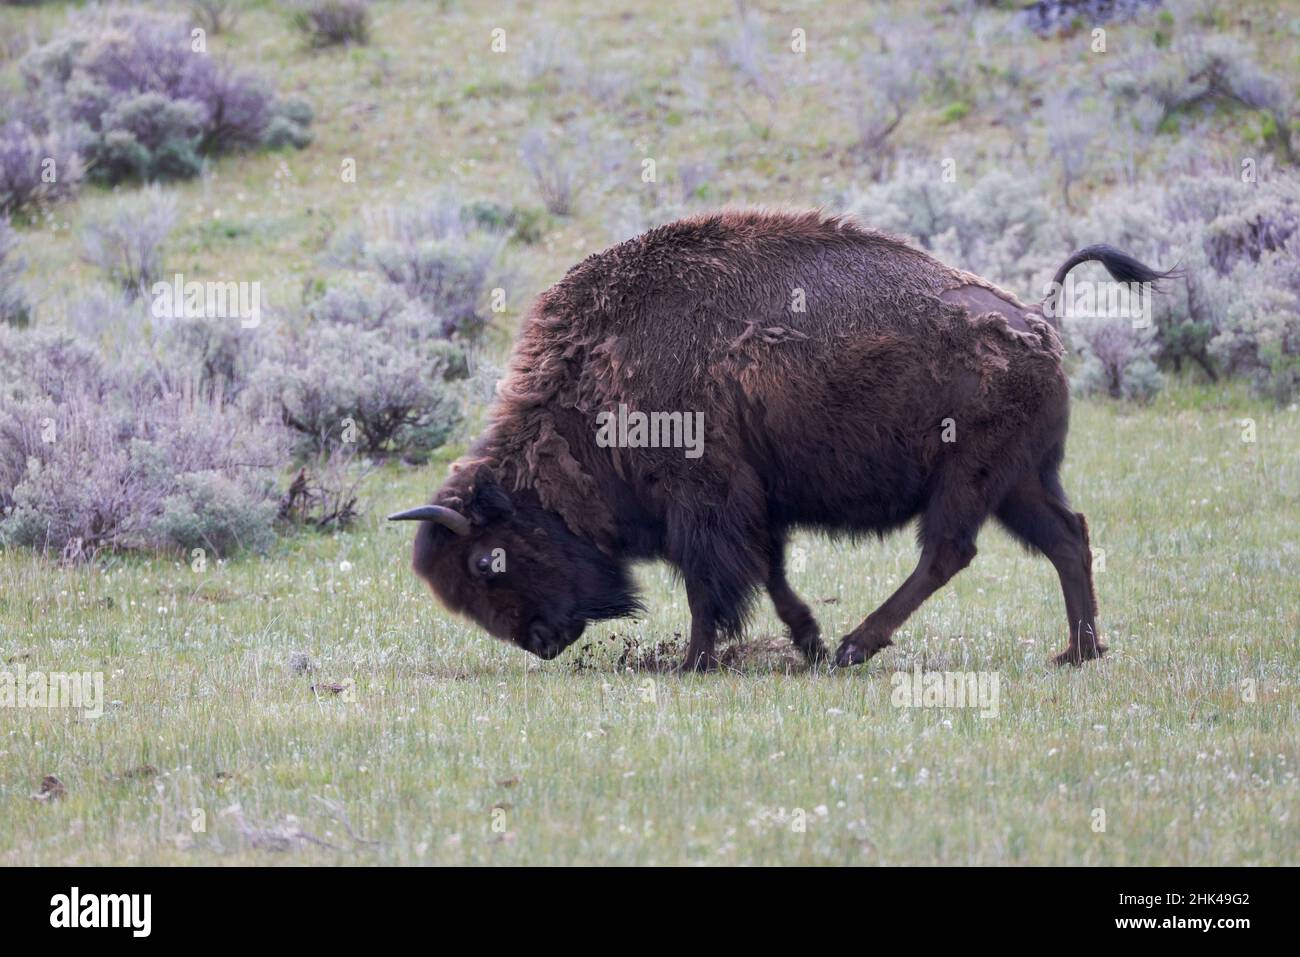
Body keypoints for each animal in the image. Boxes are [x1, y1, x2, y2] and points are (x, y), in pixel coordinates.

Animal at [390, 209, 1173, 671]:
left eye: (489, 559)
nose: (543, 642)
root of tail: (1036, 319)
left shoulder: (704, 500)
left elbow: (711, 584)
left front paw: (695, 661)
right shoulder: (754, 505)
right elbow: (770, 573)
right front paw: (805, 639)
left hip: (970, 477)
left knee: (949, 551)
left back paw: (860, 645)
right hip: (1021, 481)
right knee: (1067, 537)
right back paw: (1076, 652)